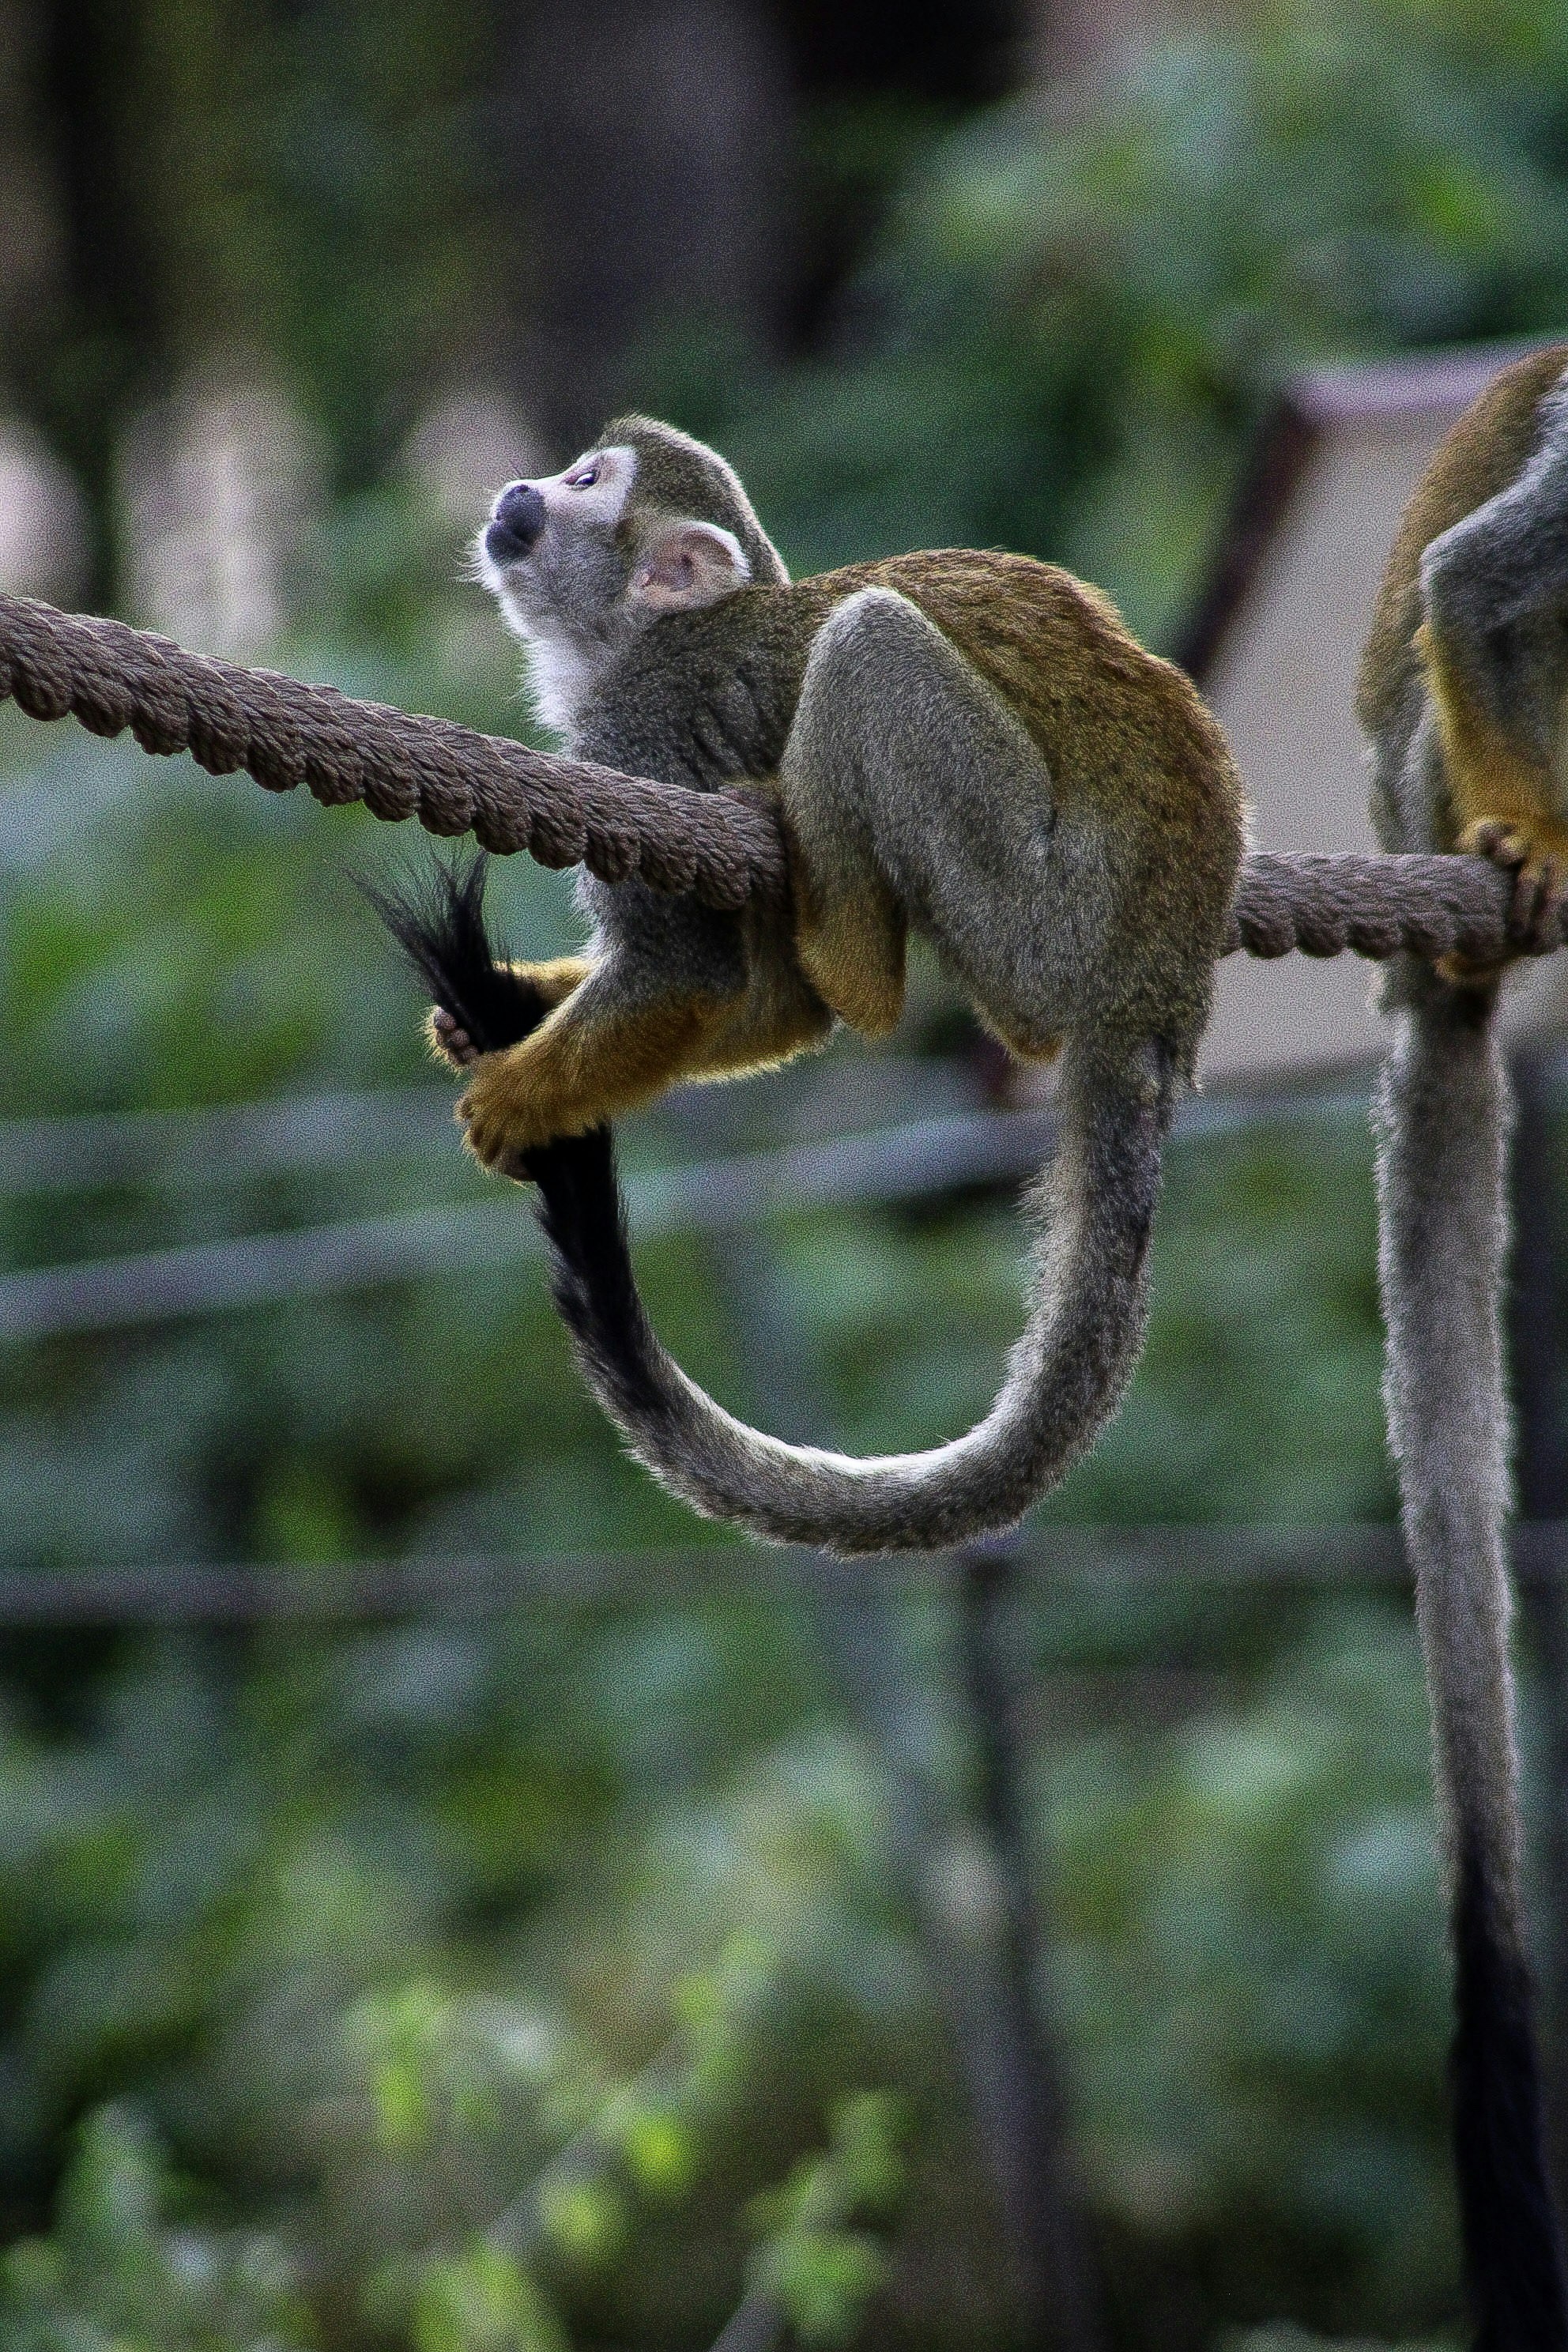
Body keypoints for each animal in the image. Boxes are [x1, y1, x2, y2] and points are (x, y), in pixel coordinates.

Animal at [379, 416, 1244, 1555]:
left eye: (585, 481)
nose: (522, 490)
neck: (636, 644)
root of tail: (1163, 980)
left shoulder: (640, 741)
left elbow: (690, 978)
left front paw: (515, 1097)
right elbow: (769, 1009)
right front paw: (524, 1001)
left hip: (1048, 913)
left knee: (868, 640)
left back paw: (850, 952)